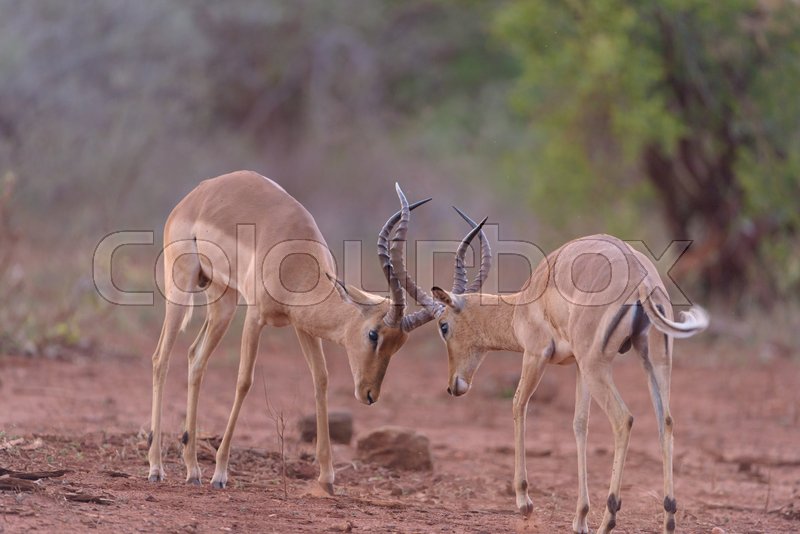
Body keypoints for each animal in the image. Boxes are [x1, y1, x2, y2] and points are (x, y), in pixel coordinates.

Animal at [147, 170, 437, 494]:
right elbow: (244, 381)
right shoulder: (255, 317)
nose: (370, 394)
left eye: (399, 344)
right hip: (182, 287)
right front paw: (220, 473)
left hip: (223, 302)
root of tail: (194, 196)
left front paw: (326, 478)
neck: (294, 256)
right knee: (161, 358)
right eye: (373, 334)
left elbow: (320, 380)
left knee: (195, 357)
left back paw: (193, 470)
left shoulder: (303, 326)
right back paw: (157, 468)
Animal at [422, 209, 708, 534]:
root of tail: (642, 280)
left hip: (598, 365)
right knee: (666, 422)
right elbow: (579, 424)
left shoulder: (536, 355)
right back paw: (668, 518)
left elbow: (518, 405)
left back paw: (608, 520)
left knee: (624, 419)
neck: (524, 302)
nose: (453, 385)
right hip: (653, 361)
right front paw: (580, 518)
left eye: (443, 326)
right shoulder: (578, 367)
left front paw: (525, 503)